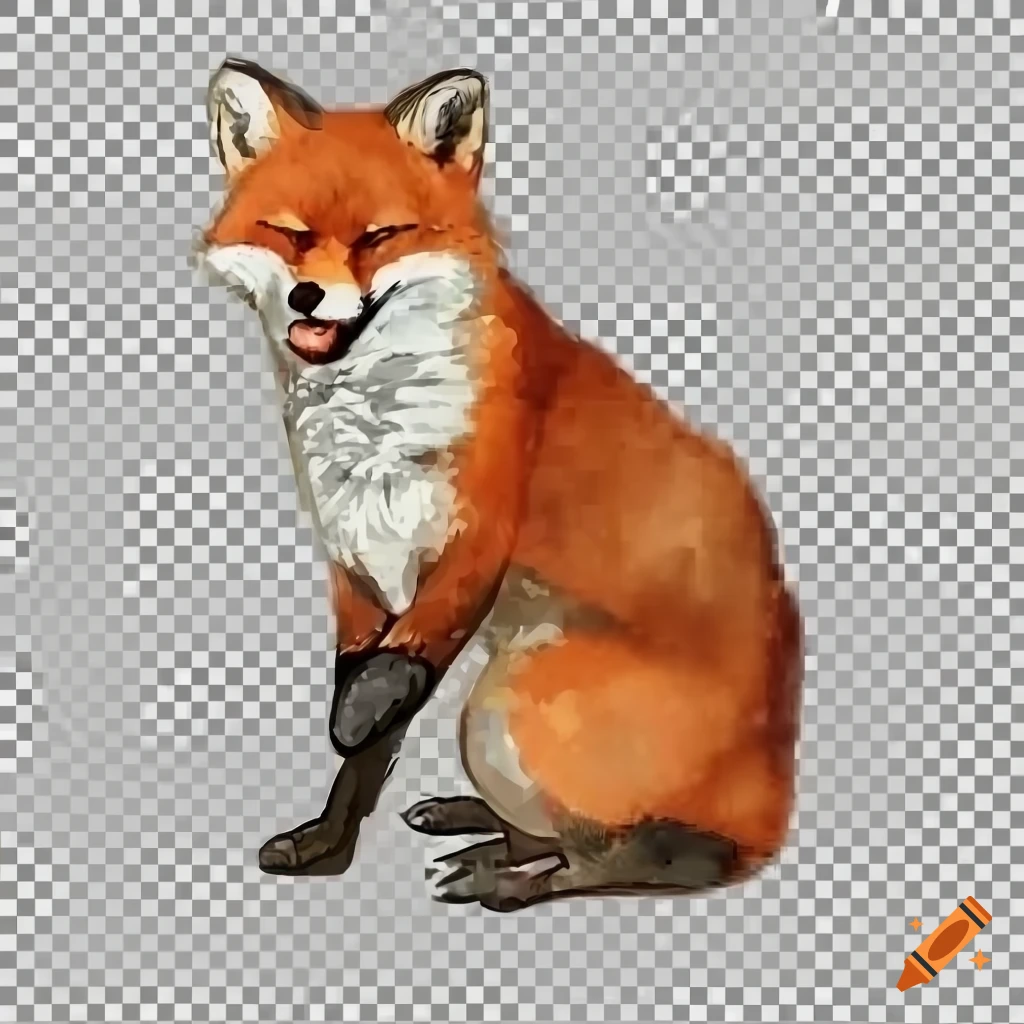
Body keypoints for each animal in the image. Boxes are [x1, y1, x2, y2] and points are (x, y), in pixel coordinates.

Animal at [196, 57, 803, 911]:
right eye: (291, 234)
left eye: (379, 237)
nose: (308, 296)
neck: (374, 420)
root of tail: (769, 816)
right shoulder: (360, 555)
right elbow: (365, 739)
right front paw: (325, 844)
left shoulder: (473, 535)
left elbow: (386, 687)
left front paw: (349, 740)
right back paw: (479, 825)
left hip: (498, 709)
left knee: (626, 857)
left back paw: (507, 877)